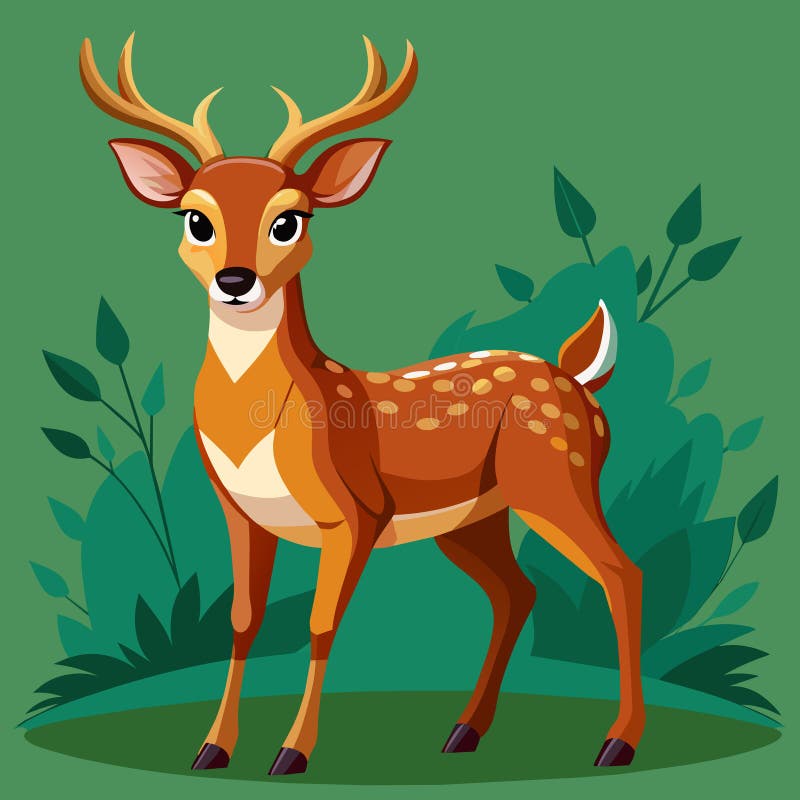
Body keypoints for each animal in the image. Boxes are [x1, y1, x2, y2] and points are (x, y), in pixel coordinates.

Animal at [78, 34, 644, 775]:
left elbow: (321, 625)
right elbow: (242, 621)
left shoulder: (356, 511)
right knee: (517, 591)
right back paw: (462, 732)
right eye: (196, 219)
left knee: (622, 573)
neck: (264, 428)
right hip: (475, 518)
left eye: (290, 219)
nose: (236, 280)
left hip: (556, 477)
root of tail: (578, 378)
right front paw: (211, 749)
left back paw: (617, 741)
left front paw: (291, 754)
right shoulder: (238, 512)